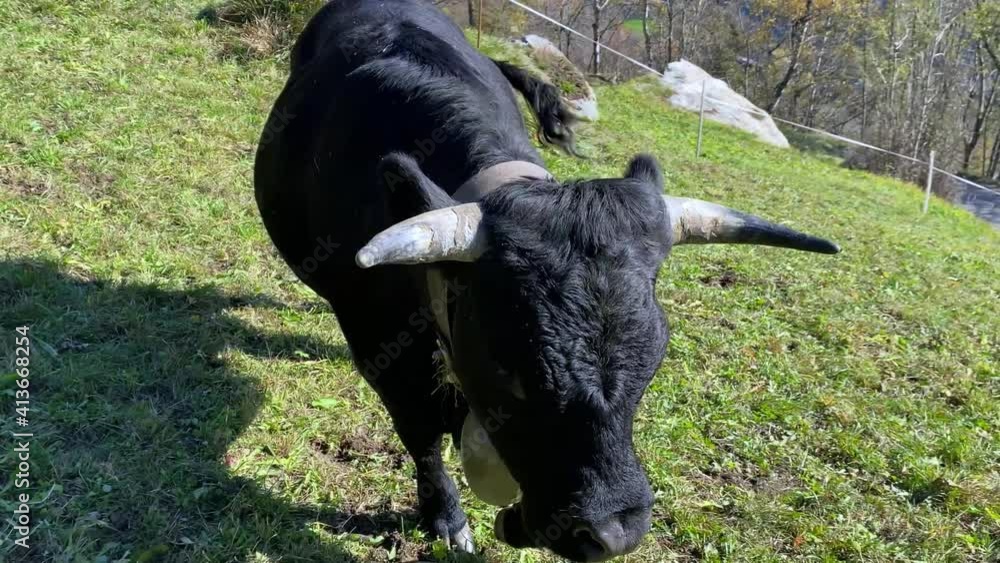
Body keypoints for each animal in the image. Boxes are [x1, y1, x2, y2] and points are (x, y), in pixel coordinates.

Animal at [254, 1, 840, 560]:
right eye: (508, 369)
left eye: (653, 363)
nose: (613, 533)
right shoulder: (375, 339)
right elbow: (420, 432)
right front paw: (447, 518)